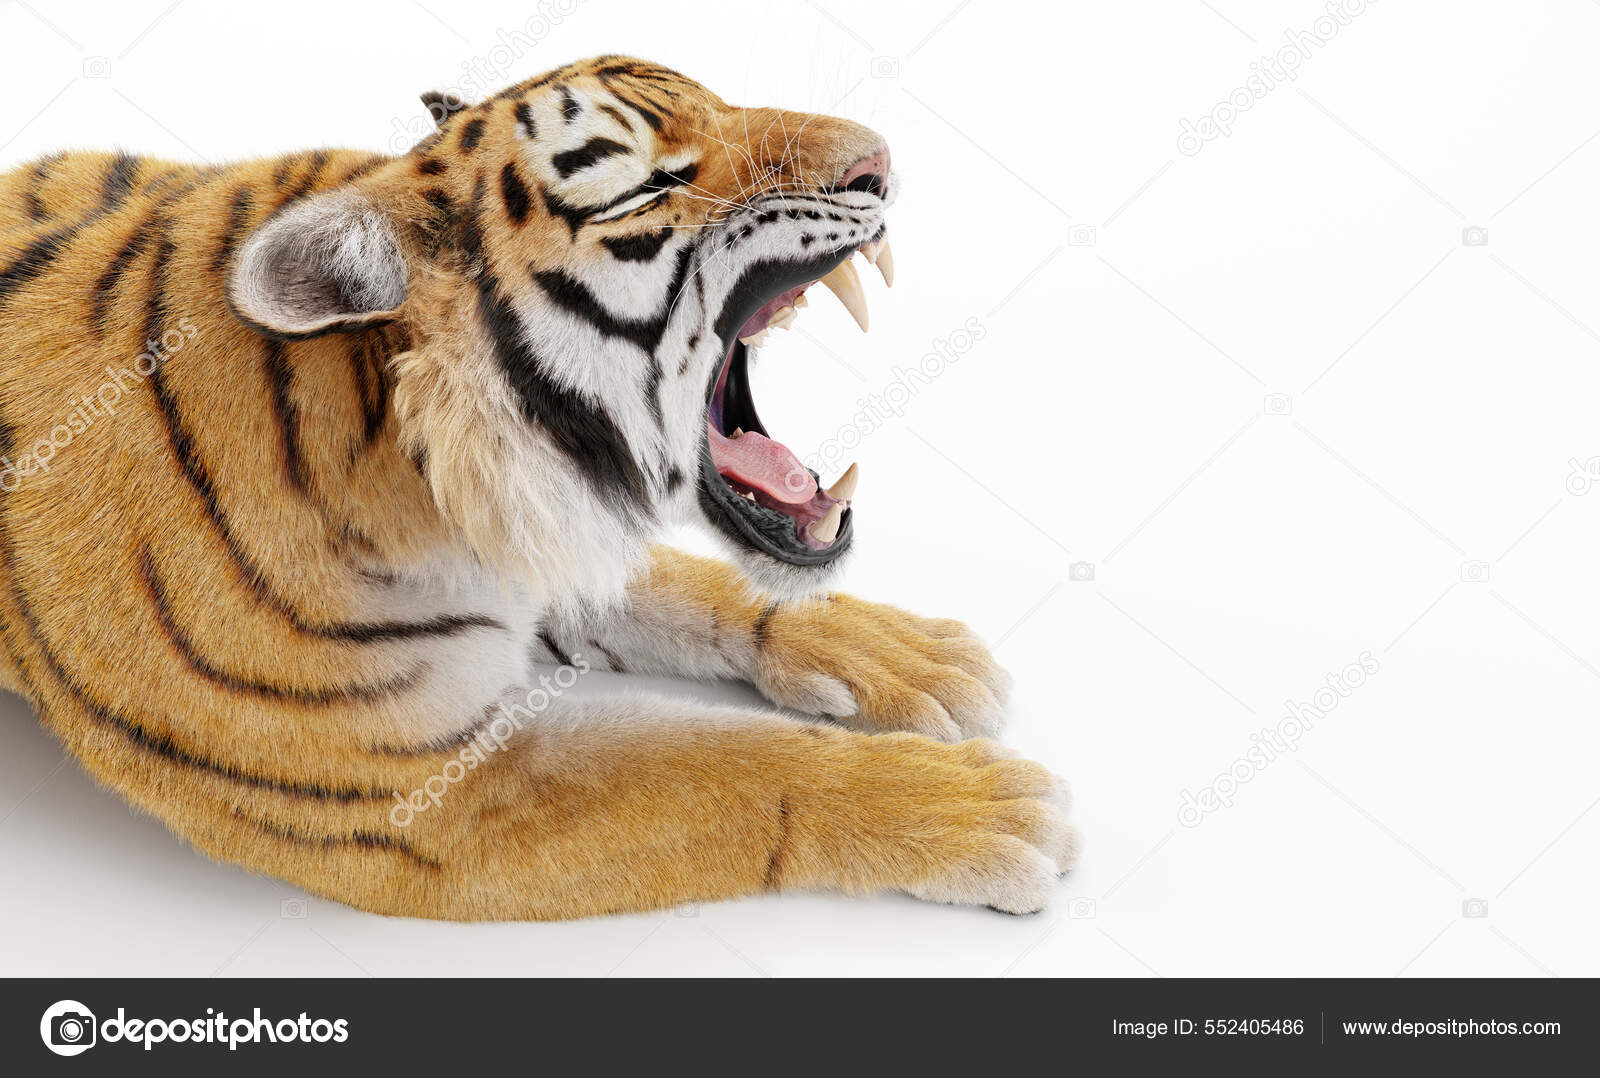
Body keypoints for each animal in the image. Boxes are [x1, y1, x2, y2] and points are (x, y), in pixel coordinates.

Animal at [0, 55, 1078, 920]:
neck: (433, 486)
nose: (882, 161)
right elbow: (728, 768)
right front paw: (972, 807)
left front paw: (904, 653)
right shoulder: (421, 801)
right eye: (652, 182)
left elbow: (695, 592)